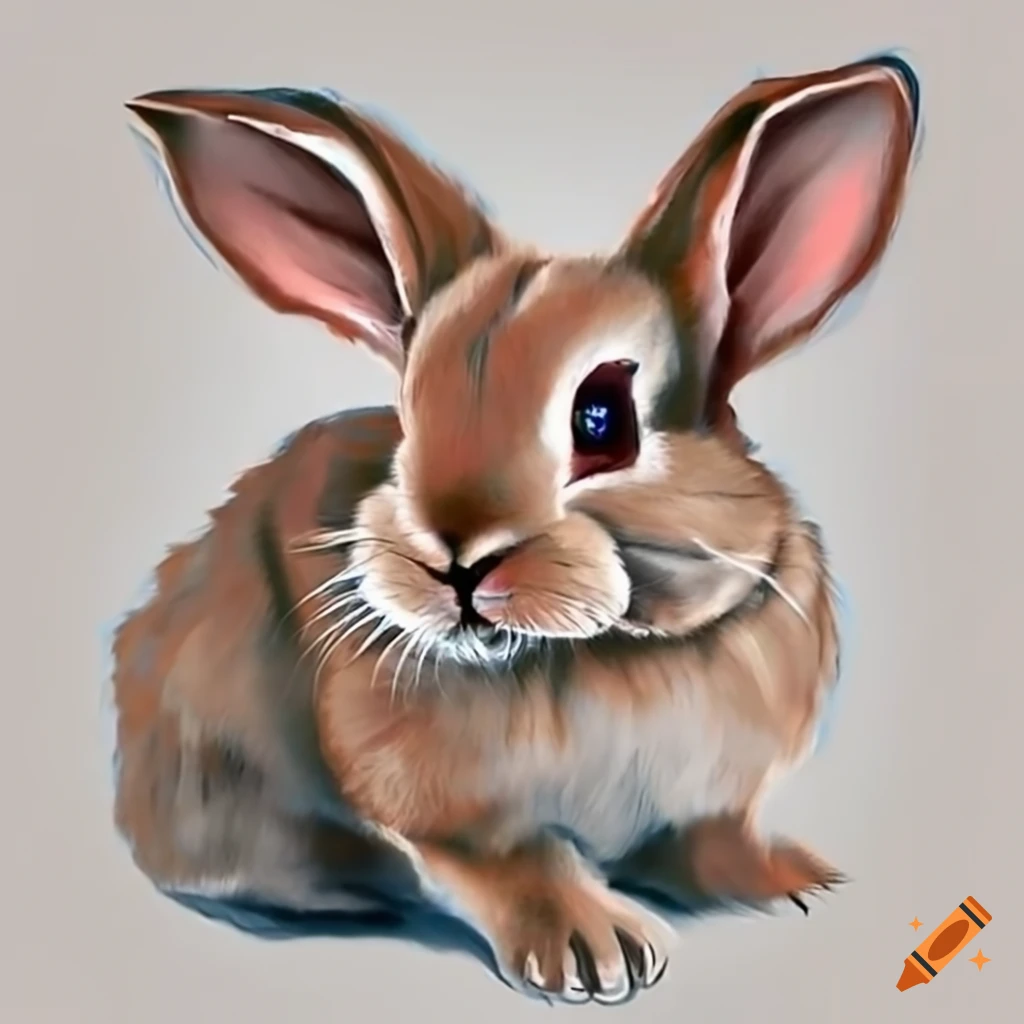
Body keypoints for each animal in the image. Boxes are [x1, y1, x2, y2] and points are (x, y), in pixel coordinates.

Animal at [113, 54, 920, 1005]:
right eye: (410, 418)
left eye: (602, 419)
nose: (457, 562)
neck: (612, 652)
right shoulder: (450, 812)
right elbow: (514, 860)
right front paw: (594, 951)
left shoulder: (710, 801)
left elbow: (711, 838)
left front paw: (794, 882)